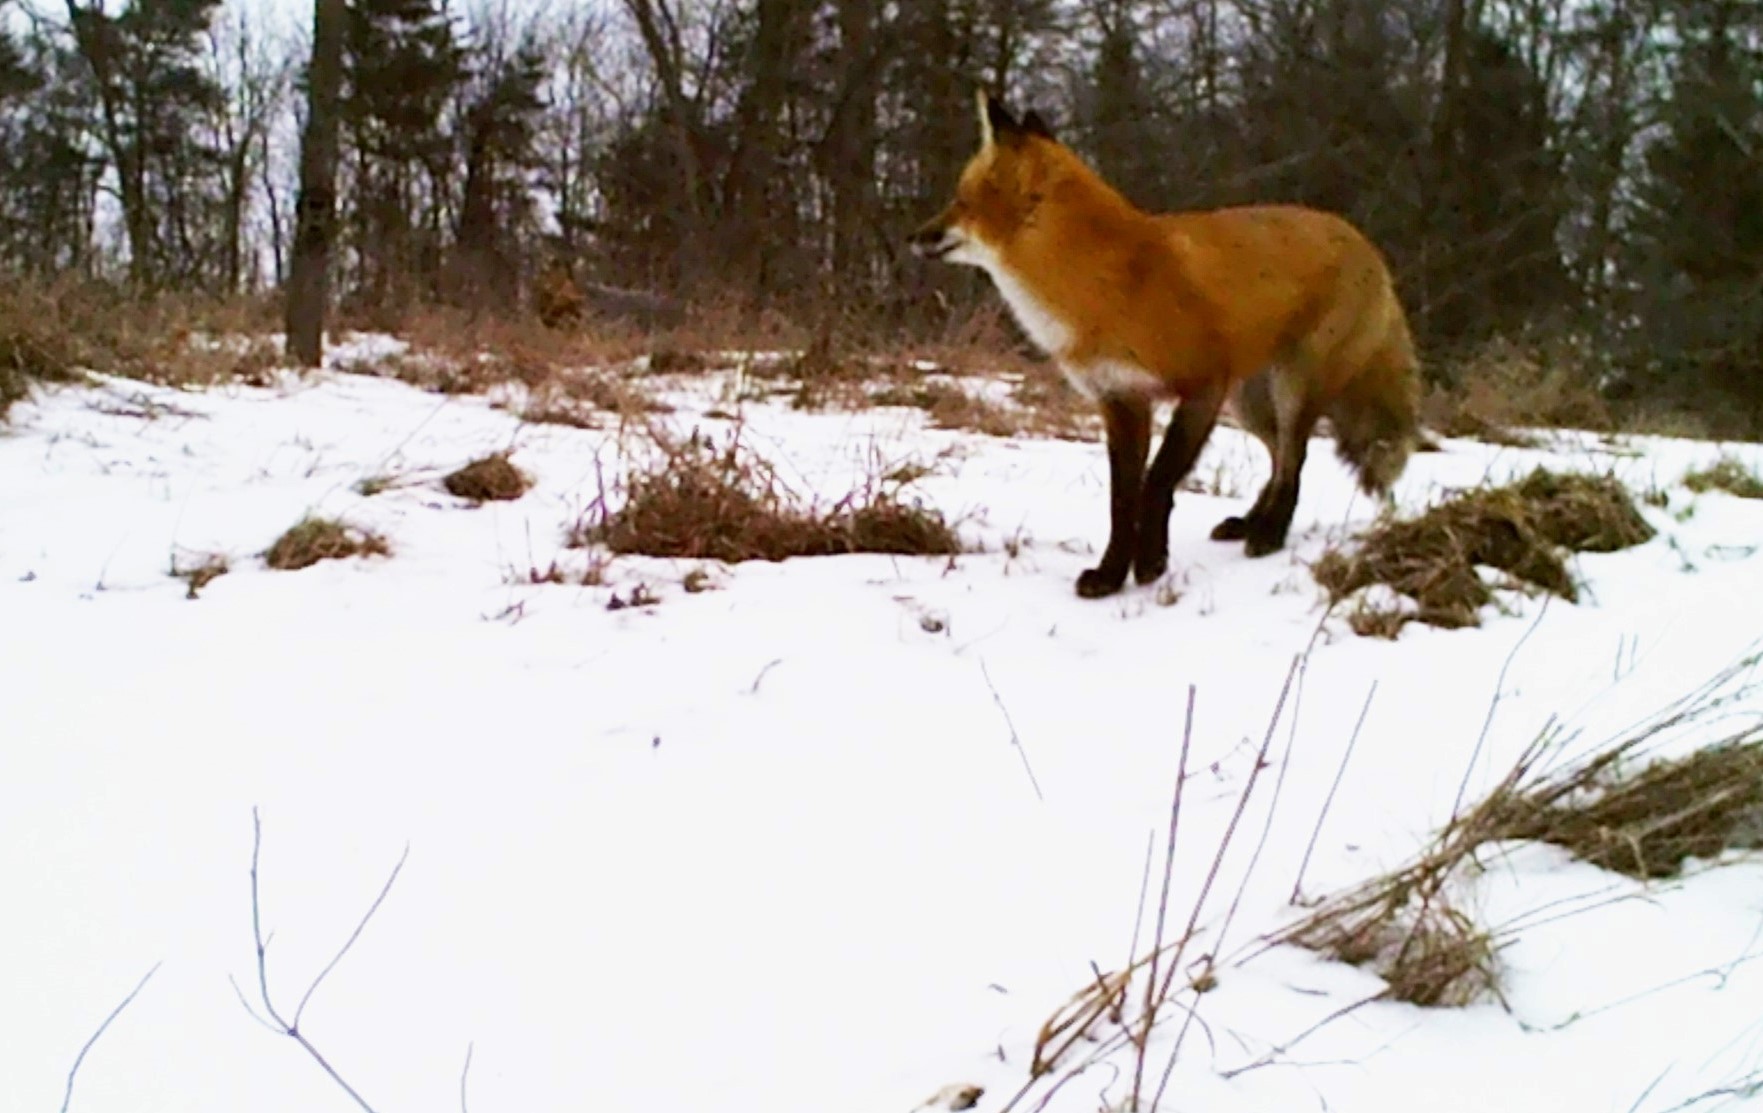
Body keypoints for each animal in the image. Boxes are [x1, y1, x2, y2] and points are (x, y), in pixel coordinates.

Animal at [908, 90, 1423, 599]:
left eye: (960, 200)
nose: (915, 237)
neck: (1101, 286)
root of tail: (1366, 244)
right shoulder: (1121, 400)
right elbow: (1121, 500)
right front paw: (1111, 574)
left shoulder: (1202, 388)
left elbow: (1157, 482)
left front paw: (1152, 561)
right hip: (1251, 404)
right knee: (1279, 461)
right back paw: (1249, 523)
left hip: (1290, 391)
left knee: (1295, 461)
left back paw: (1270, 535)